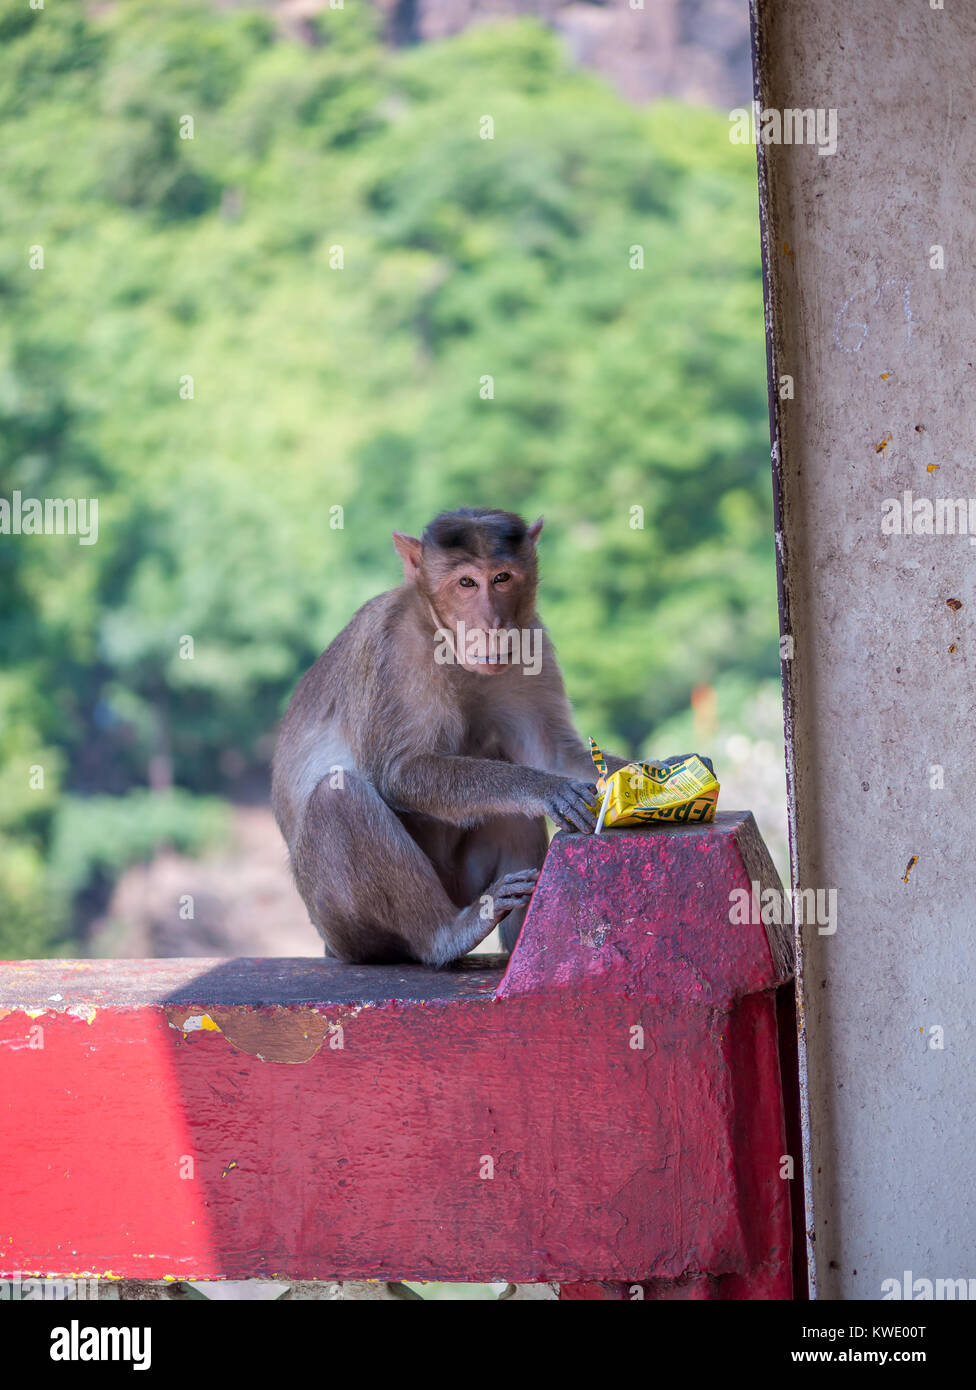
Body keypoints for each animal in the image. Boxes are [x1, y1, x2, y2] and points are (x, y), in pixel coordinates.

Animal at [271, 507, 634, 968]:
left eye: (502, 577)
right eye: (466, 583)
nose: (493, 625)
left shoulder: (531, 640)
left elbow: (550, 751)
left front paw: (661, 770)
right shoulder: (394, 649)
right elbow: (399, 771)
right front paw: (543, 788)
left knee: (511, 813)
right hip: (347, 933)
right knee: (338, 797)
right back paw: (447, 934)